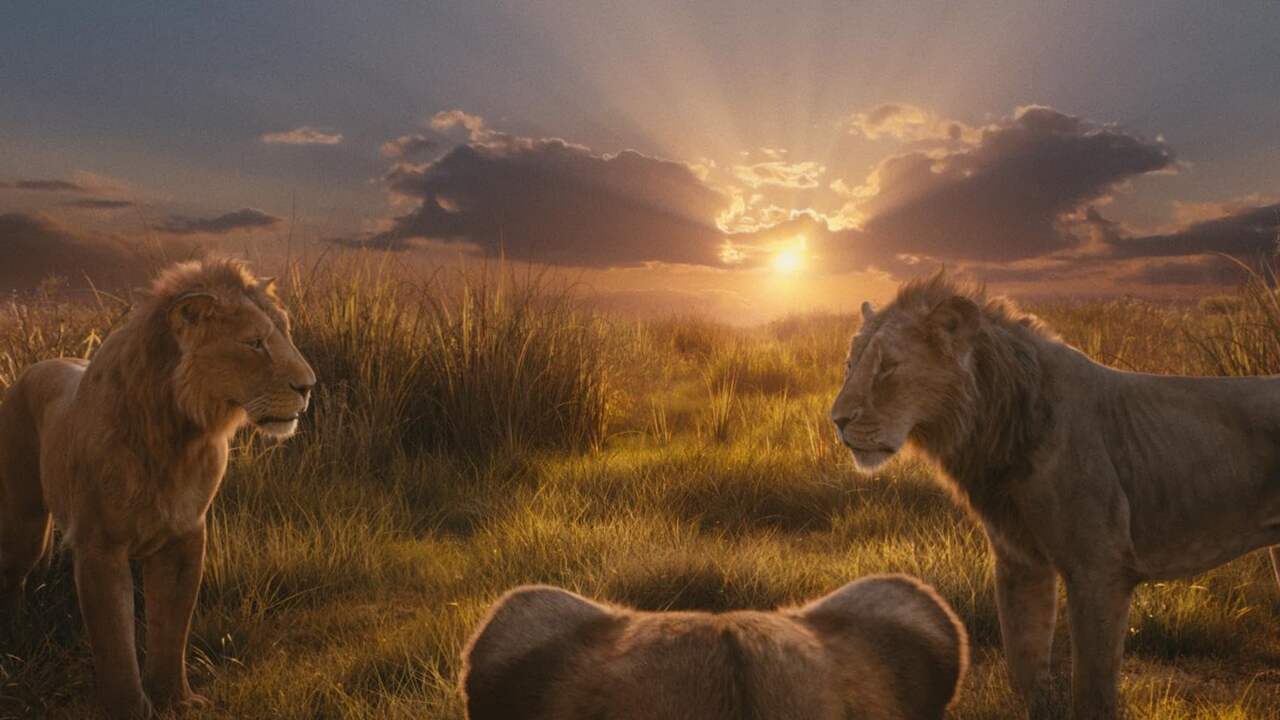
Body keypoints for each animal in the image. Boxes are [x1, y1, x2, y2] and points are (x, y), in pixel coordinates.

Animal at [0, 258, 316, 719]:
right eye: (255, 343)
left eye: (286, 334)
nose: (308, 387)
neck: (176, 434)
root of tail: (37, 365)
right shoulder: (99, 545)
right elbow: (114, 639)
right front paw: (129, 708)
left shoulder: (184, 537)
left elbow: (171, 629)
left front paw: (176, 699)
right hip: (23, 524)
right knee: (12, 576)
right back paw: (14, 640)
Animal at [830, 272, 1280, 718]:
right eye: (851, 365)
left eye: (888, 367)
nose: (836, 420)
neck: (995, 426)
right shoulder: (1020, 562)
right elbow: (1025, 670)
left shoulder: (1100, 568)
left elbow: (1093, 691)